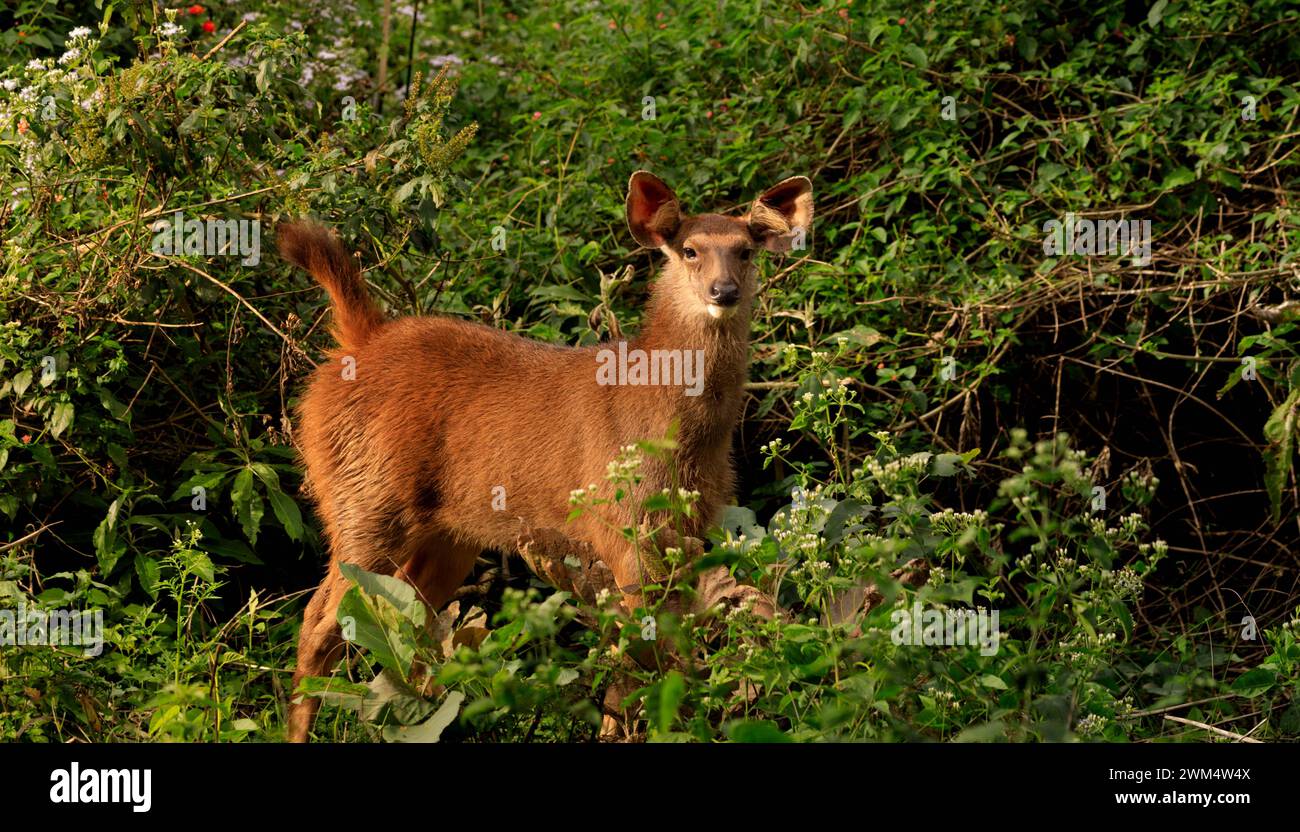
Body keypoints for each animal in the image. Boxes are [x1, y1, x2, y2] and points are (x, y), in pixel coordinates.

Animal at [277, 171, 813, 742]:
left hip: (445, 531)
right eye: (689, 250)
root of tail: (361, 340)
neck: (670, 429)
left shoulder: (694, 528)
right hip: (363, 493)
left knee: (409, 614)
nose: (723, 291)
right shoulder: (622, 524)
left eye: (746, 251)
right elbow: (640, 657)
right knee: (320, 619)